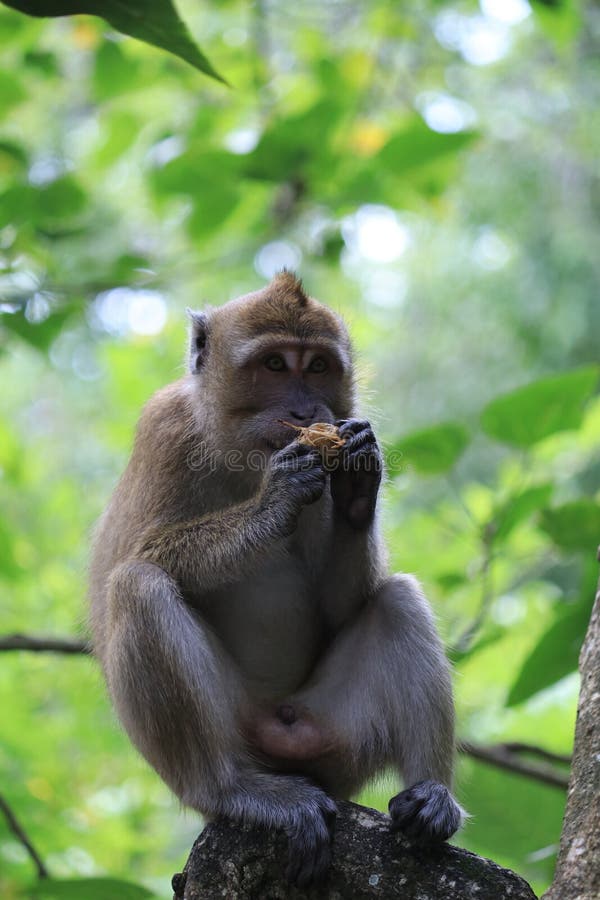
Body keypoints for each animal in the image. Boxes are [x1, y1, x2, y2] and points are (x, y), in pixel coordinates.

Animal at [89, 271, 465, 888]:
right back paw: (232, 791)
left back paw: (430, 799)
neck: (243, 451)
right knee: (137, 586)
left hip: (336, 737)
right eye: (273, 365)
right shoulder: (164, 430)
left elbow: (343, 606)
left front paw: (360, 483)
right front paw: (275, 500)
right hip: (236, 730)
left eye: (317, 367)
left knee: (398, 599)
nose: (307, 408)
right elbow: (131, 561)